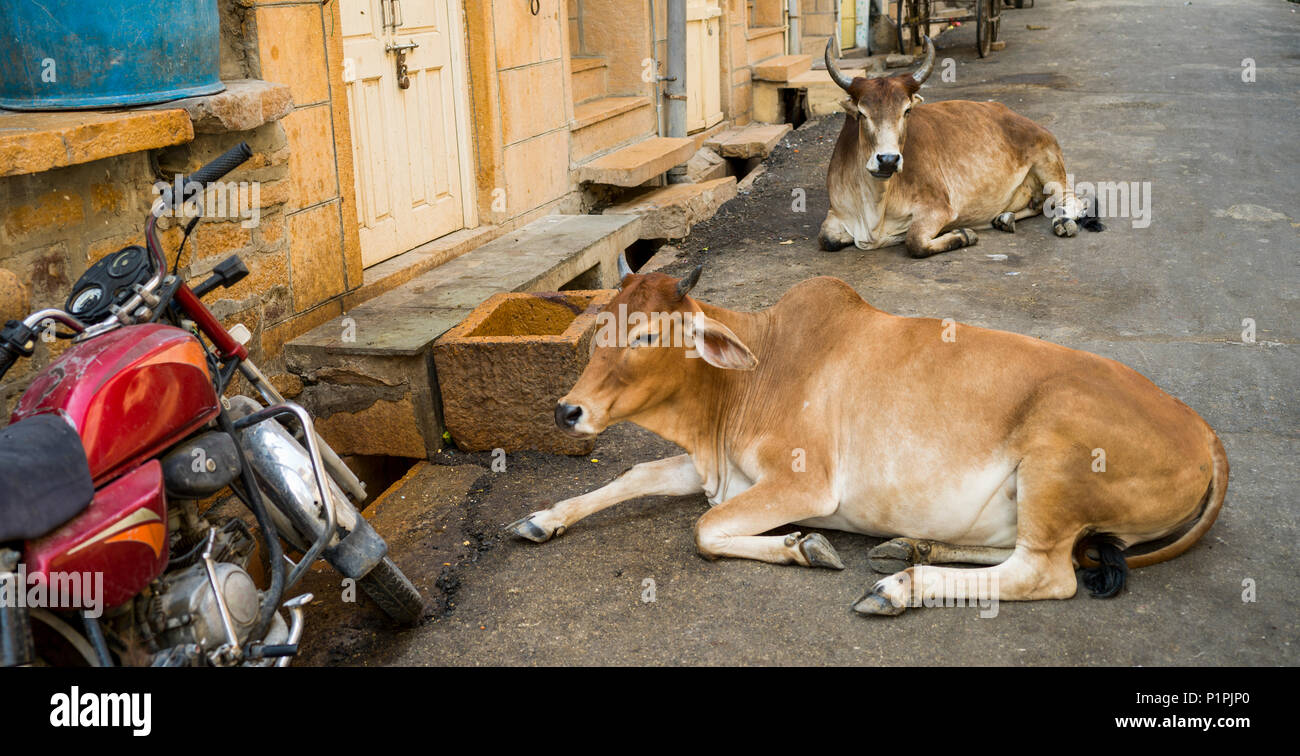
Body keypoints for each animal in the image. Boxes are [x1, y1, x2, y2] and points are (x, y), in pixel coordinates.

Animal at [506, 265, 1227, 616]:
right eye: (599, 330)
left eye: (650, 334)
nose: (568, 410)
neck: (751, 375)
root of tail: (1205, 433)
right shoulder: (717, 469)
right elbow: (635, 478)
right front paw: (541, 518)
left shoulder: (804, 482)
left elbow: (705, 530)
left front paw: (803, 546)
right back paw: (911, 547)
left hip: (1054, 467)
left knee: (1046, 573)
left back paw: (899, 587)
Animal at [819, 37, 1103, 258]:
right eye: (862, 114)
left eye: (906, 111)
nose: (888, 160)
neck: (876, 204)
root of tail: (1015, 115)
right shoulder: (836, 211)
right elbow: (827, 240)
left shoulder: (938, 208)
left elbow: (914, 242)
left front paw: (964, 234)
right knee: (1038, 204)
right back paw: (1004, 218)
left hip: (1049, 164)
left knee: (1072, 200)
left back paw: (1063, 221)